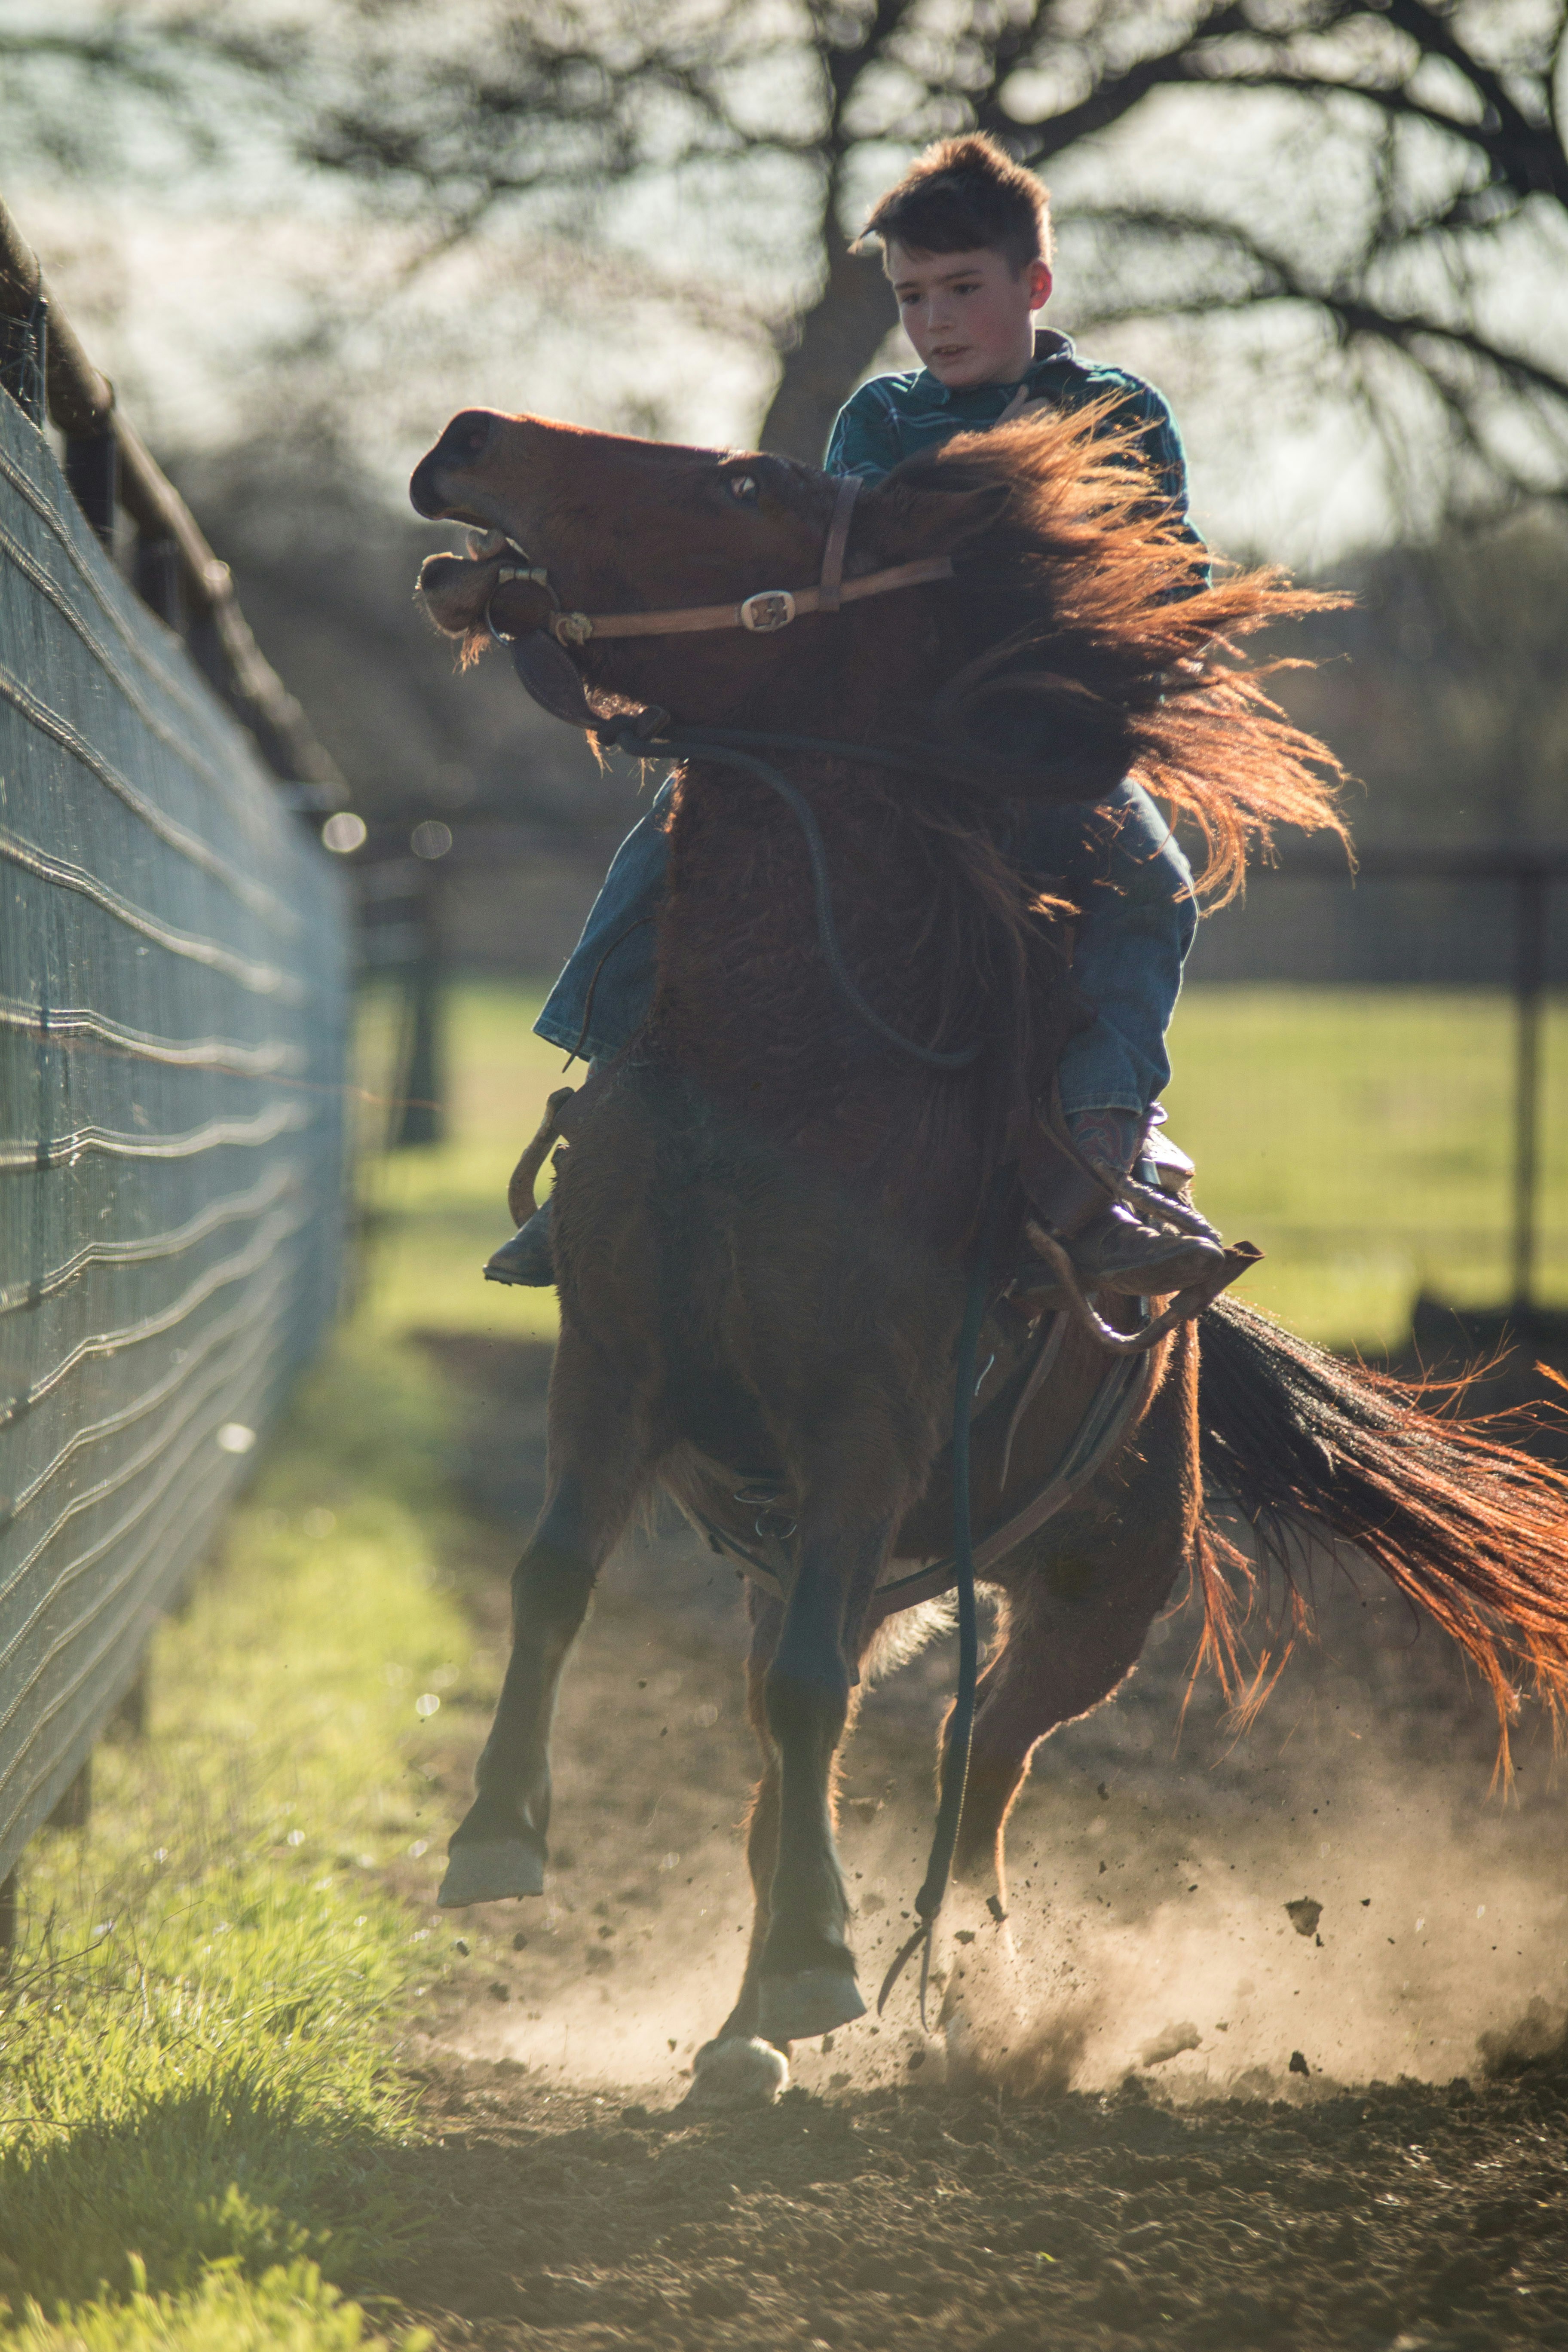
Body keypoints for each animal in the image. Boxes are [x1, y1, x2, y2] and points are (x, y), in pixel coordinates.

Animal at [409, 402, 1568, 2103]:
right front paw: (496, 1836)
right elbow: (555, 1579)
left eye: (744, 485)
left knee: (977, 1755)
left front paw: (820, 1966)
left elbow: (815, 1701)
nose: (467, 436)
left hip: (1096, 1594)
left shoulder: (863, 1424)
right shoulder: (612, 1366)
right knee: (797, 1747)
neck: (774, 1069)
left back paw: (934, 1978)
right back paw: (750, 2023)